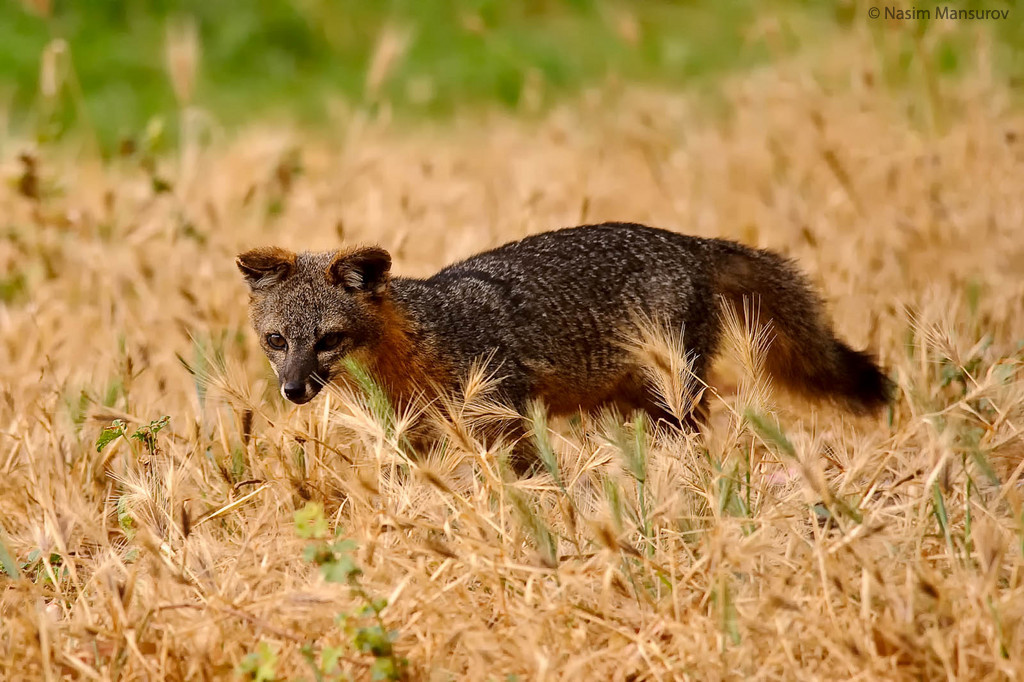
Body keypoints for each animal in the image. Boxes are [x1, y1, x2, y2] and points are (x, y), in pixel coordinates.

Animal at [237, 222, 892, 460]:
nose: (293, 390)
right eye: (277, 340)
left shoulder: (501, 416)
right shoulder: (414, 437)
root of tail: (690, 241)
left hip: (672, 394)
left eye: (328, 339)